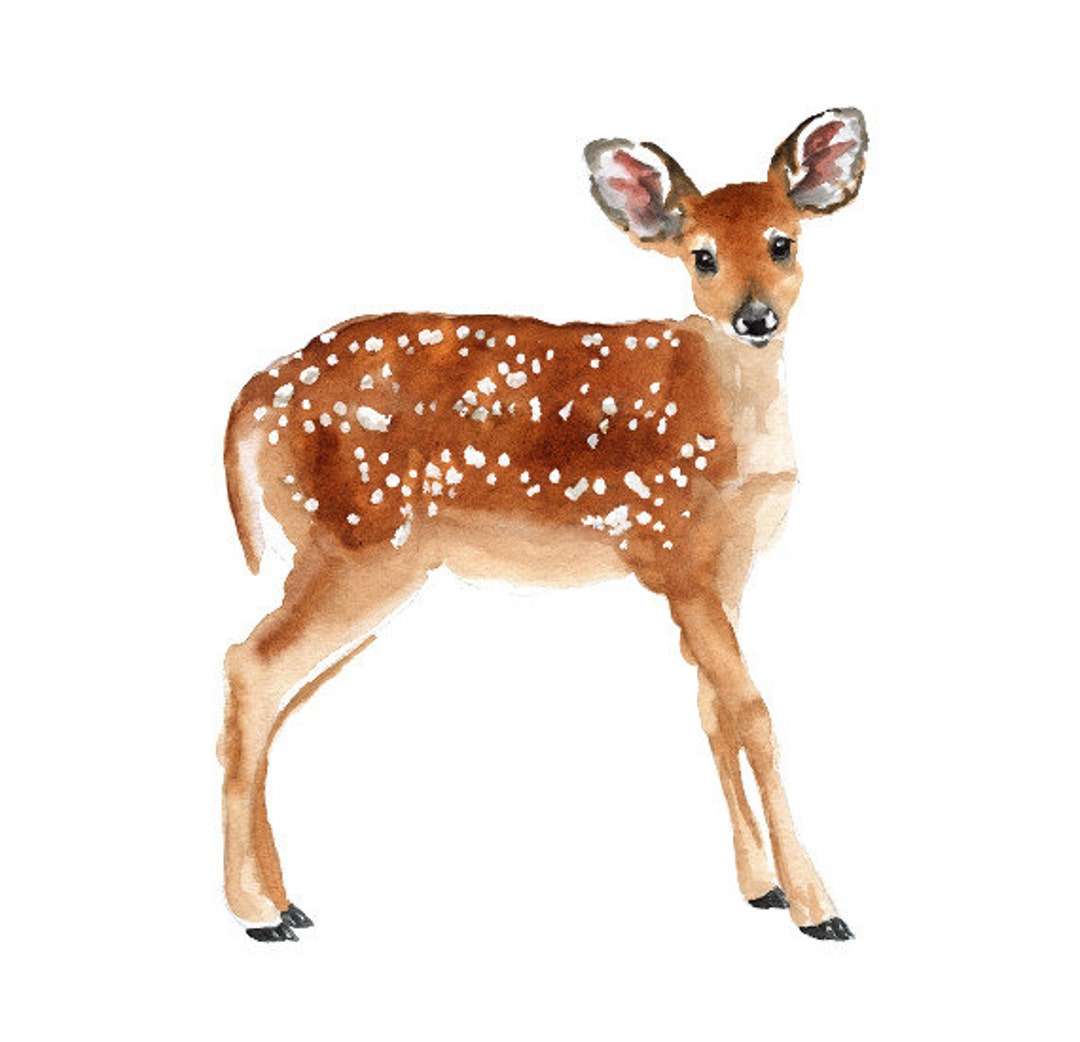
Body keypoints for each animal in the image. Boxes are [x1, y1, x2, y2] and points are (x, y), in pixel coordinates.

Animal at [221, 108, 868, 942]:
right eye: (703, 256)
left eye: (783, 241)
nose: (754, 318)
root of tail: (256, 395)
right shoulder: (671, 548)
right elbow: (752, 711)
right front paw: (818, 907)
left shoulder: (729, 565)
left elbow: (713, 709)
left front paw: (763, 889)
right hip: (361, 542)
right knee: (250, 667)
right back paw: (256, 912)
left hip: (352, 556)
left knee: (275, 690)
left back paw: (285, 902)